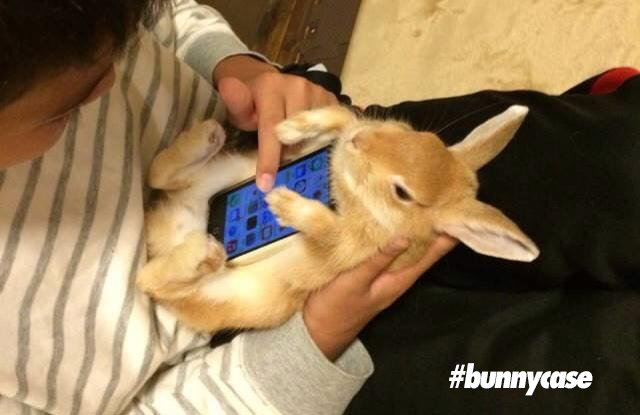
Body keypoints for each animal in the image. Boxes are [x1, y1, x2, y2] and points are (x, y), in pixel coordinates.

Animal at [136, 104, 539, 332]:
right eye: (416, 133)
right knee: (159, 175)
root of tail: (173, 226)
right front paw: (288, 129)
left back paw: (201, 250)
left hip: (219, 293)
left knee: (149, 279)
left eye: (402, 193)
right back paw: (206, 136)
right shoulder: (335, 135)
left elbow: (329, 229)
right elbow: (338, 115)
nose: (360, 141)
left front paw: (283, 203)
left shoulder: (350, 248)